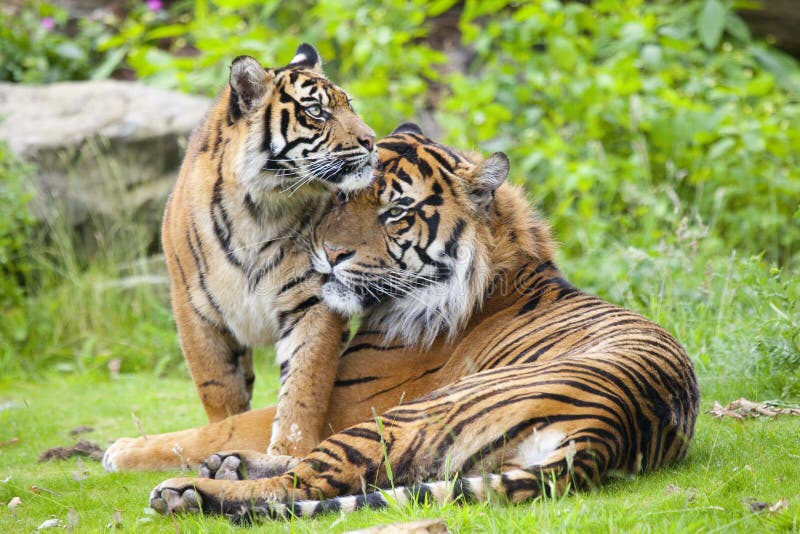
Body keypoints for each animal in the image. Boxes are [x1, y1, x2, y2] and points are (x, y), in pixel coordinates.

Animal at [103, 43, 377, 469]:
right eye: (317, 111)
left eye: (350, 105)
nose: (372, 140)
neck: (263, 206)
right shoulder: (194, 311)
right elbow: (220, 392)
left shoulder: (313, 302)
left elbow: (305, 384)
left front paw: (290, 451)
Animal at [144, 124, 700, 521]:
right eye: (342, 196)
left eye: (395, 212)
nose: (329, 254)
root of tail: (603, 433)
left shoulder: (349, 400)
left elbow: (229, 427)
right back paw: (228, 465)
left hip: (403, 417)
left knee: (301, 483)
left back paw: (189, 491)